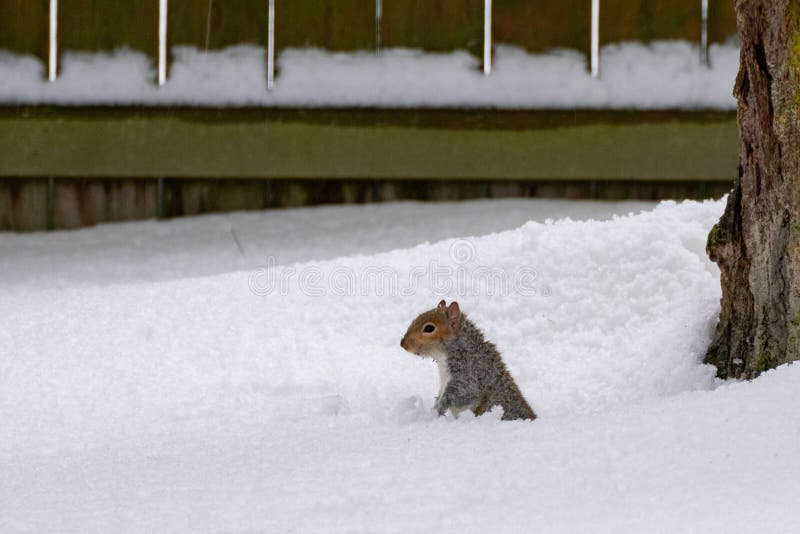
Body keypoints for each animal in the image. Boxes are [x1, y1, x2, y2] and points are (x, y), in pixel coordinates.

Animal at [400, 300, 536, 421]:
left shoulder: (469, 374)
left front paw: (439, 408)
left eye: (429, 328)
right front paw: (435, 407)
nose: (403, 343)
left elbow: (463, 395)